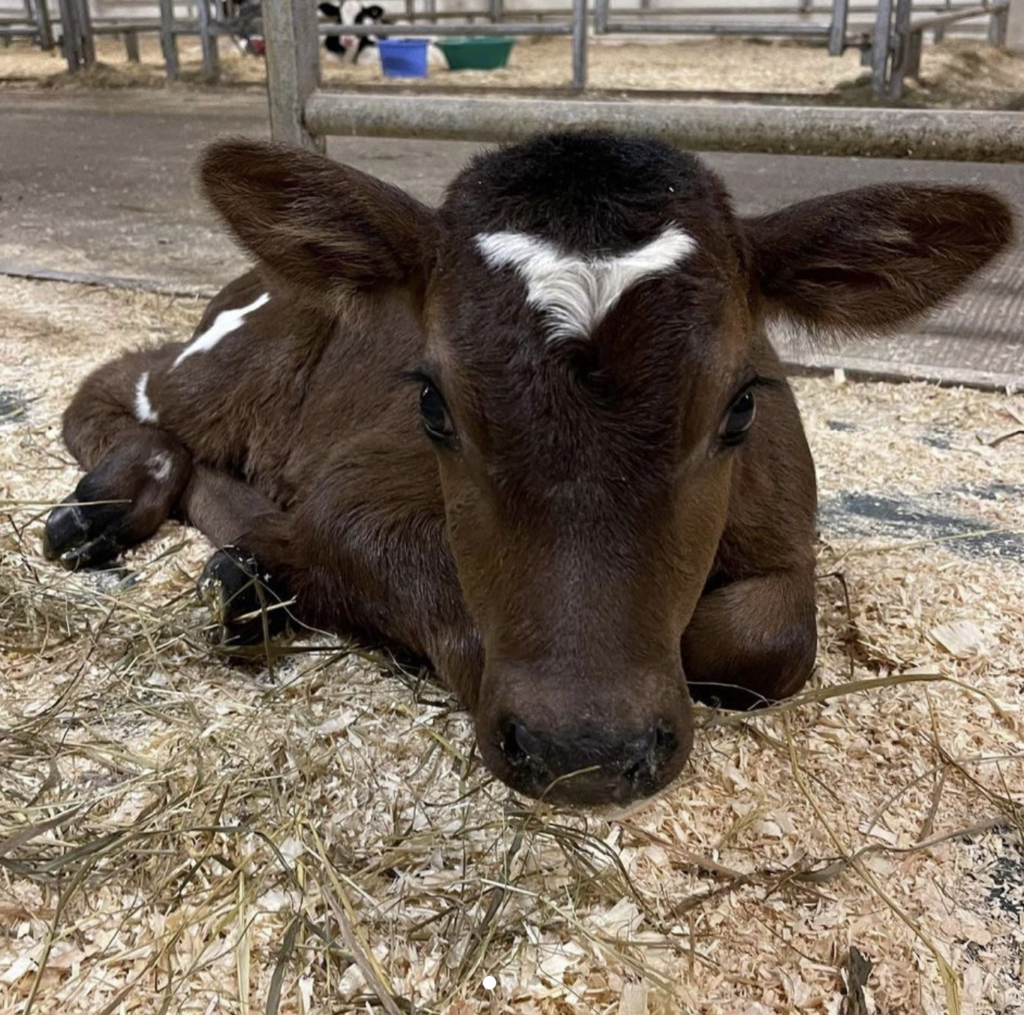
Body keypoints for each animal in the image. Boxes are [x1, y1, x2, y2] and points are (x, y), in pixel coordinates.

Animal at [42, 132, 1013, 806]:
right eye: (434, 403)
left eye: (741, 405)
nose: (584, 755)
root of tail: (246, 274)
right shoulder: (350, 494)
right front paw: (272, 565)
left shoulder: (787, 535)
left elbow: (770, 638)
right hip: (243, 363)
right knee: (121, 381)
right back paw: (107, 512)